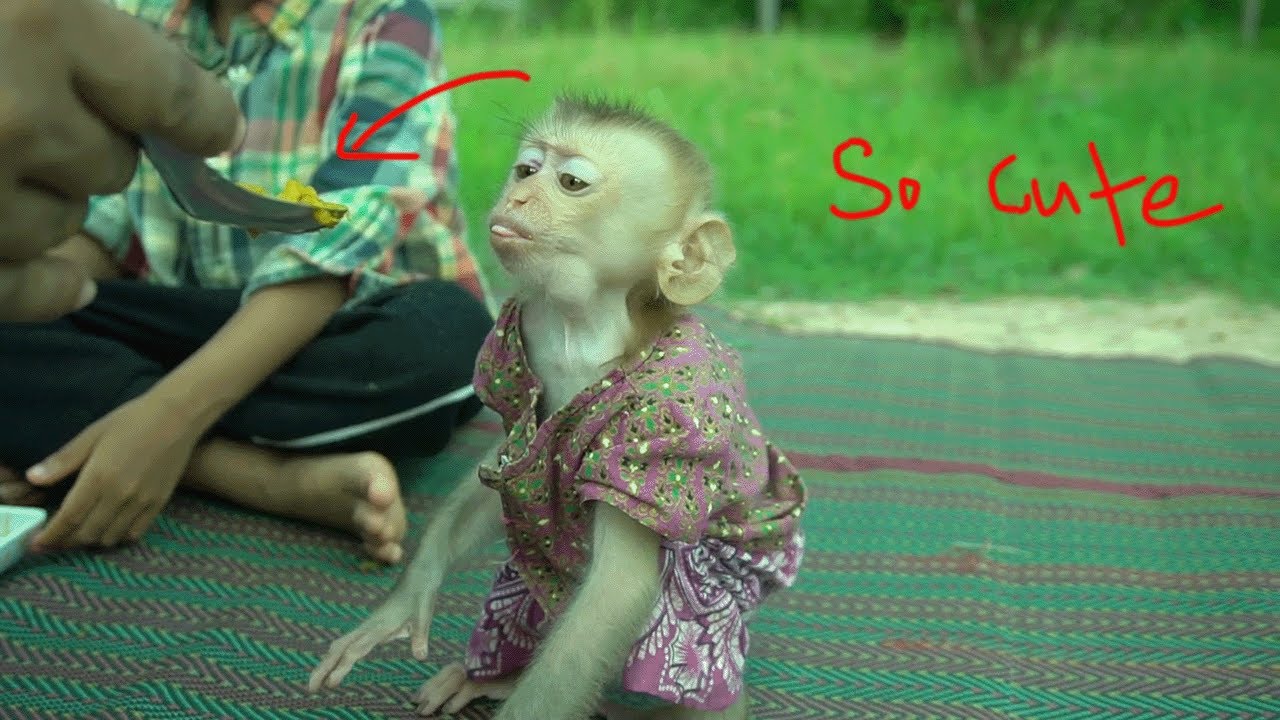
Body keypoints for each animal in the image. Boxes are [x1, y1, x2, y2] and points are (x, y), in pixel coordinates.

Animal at [308, 95, 807, 720]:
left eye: (571, 183)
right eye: (526, 170)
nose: (518, 196)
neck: (587, 331)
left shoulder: (666, 422)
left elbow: (619, 590)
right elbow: (498, 465)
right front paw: (405, 601)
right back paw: (492, 676)